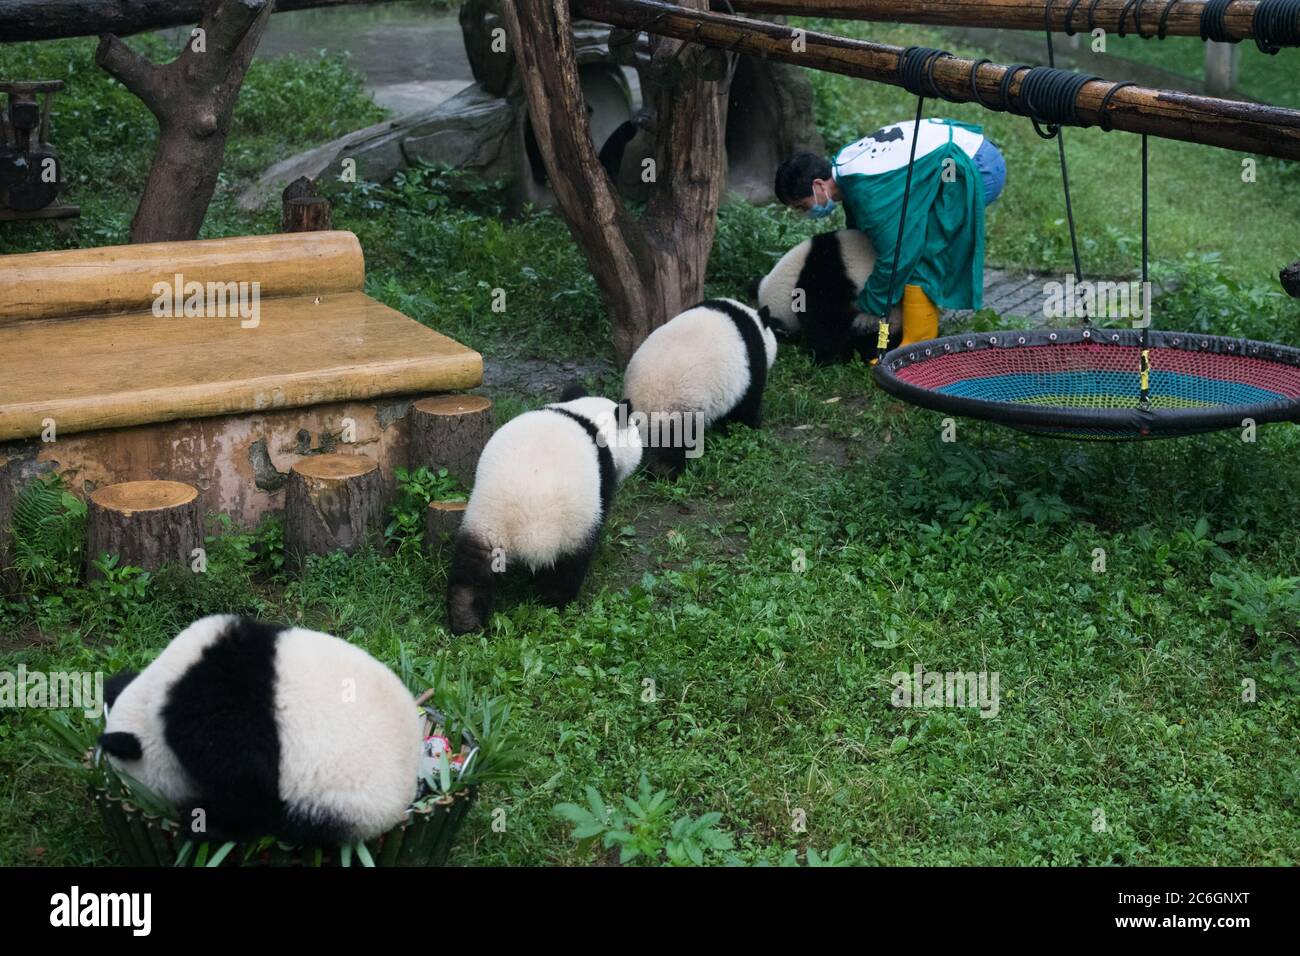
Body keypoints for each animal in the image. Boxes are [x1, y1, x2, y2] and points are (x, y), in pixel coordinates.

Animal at [98, 614, 422, 847]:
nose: (141, 804)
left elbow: (247, 782)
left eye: (134, 786)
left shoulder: (210, 710)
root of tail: (409, 786)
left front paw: (205, 821)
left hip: (343, 802)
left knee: (286, 821)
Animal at [446, 387, 643, 635]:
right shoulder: (603, 472)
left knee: (471, 572)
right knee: (568, 571)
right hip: (574, 528)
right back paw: (555, 604)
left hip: (486, 521)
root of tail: (530, 529)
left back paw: (465, 622)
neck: (589, 418)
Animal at [622, 298, 778, 478]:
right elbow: (746, 408)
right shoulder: (751, 366)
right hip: (677, 406)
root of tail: (641, 401)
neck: (755, 323)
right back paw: (667, 472)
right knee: (672, 442)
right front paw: (753, 426)